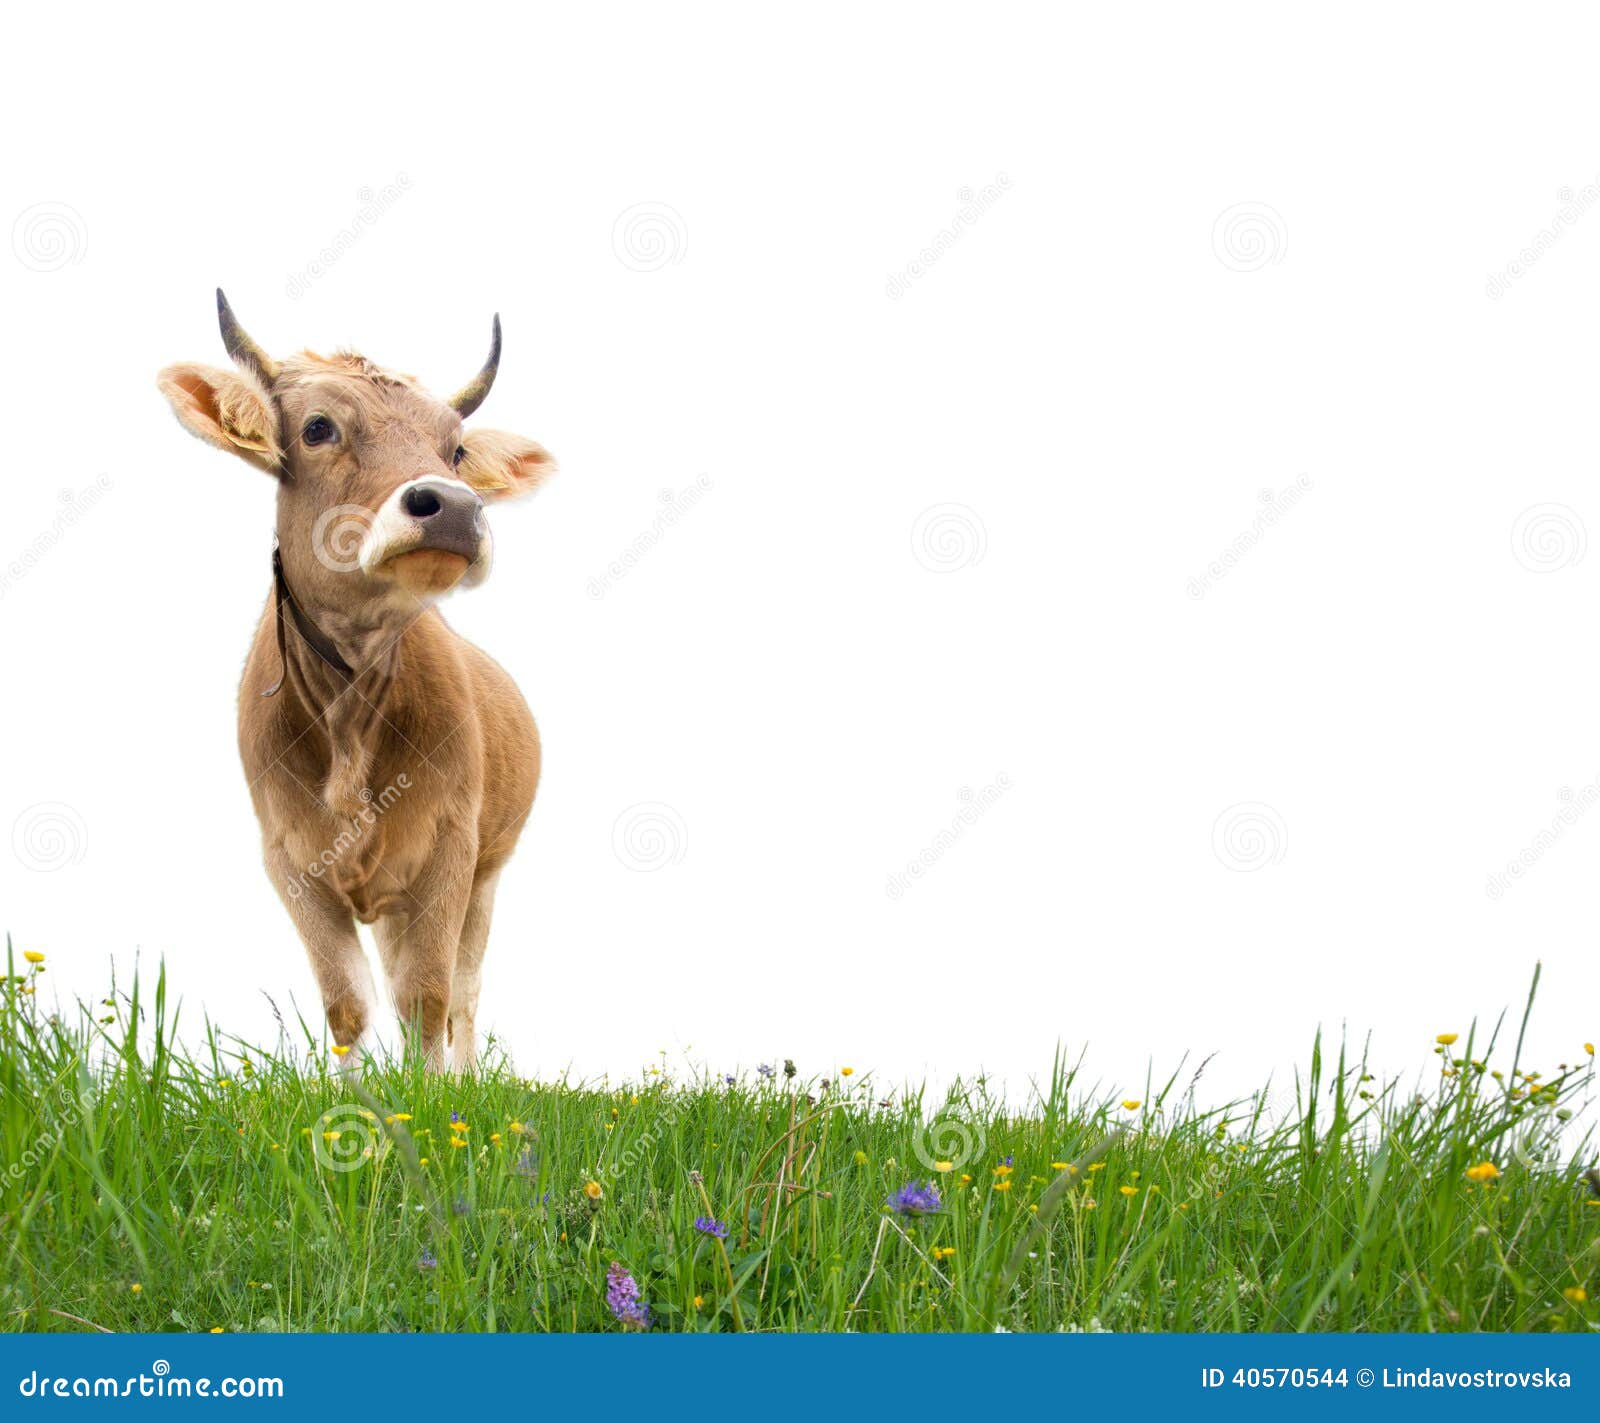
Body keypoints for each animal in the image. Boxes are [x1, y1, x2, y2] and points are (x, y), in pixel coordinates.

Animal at [157, 292, 555, 1070]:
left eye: (455, 449)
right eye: (318, 427)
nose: (455, 506)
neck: (348, 712)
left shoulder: (449, 849)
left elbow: (428, 997)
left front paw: (433, 1097)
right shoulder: (291, 861)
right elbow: (348, 1006)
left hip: (487, 871)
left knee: (463, 994)